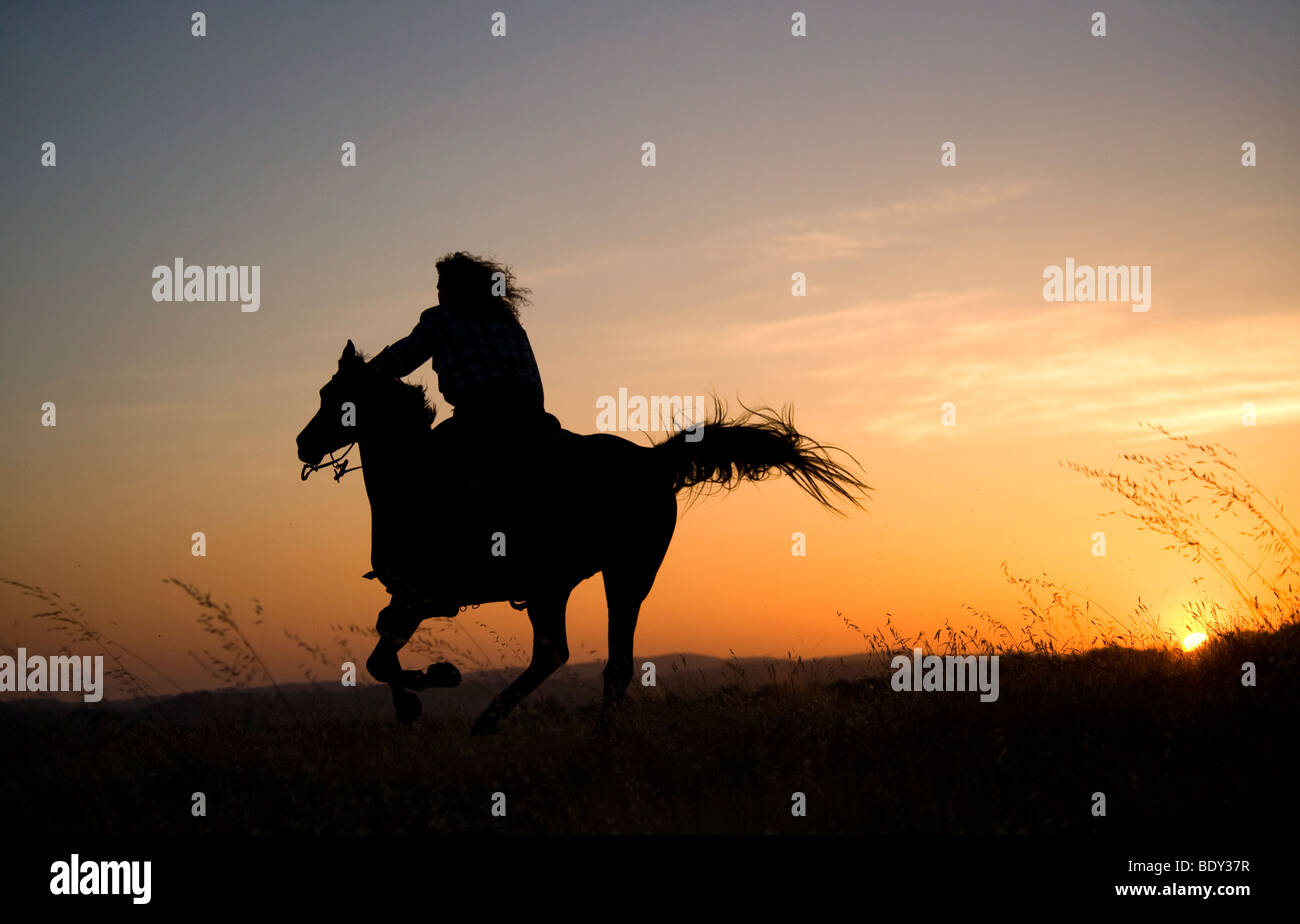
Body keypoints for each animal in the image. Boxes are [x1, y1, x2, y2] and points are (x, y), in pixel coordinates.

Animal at [296, 340, 868, 735]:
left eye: (334, 397)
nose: (303, 444)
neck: (415, 479)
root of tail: (653, 461)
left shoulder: (429, 595)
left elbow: (381, 654)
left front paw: (436, 680)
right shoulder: (414, 596)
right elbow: (381, 647)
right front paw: (412, 703)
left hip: (623, 575)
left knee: (603, 662)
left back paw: (562, 731)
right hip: (555, 588)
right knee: (560, 656)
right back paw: (511, 722)